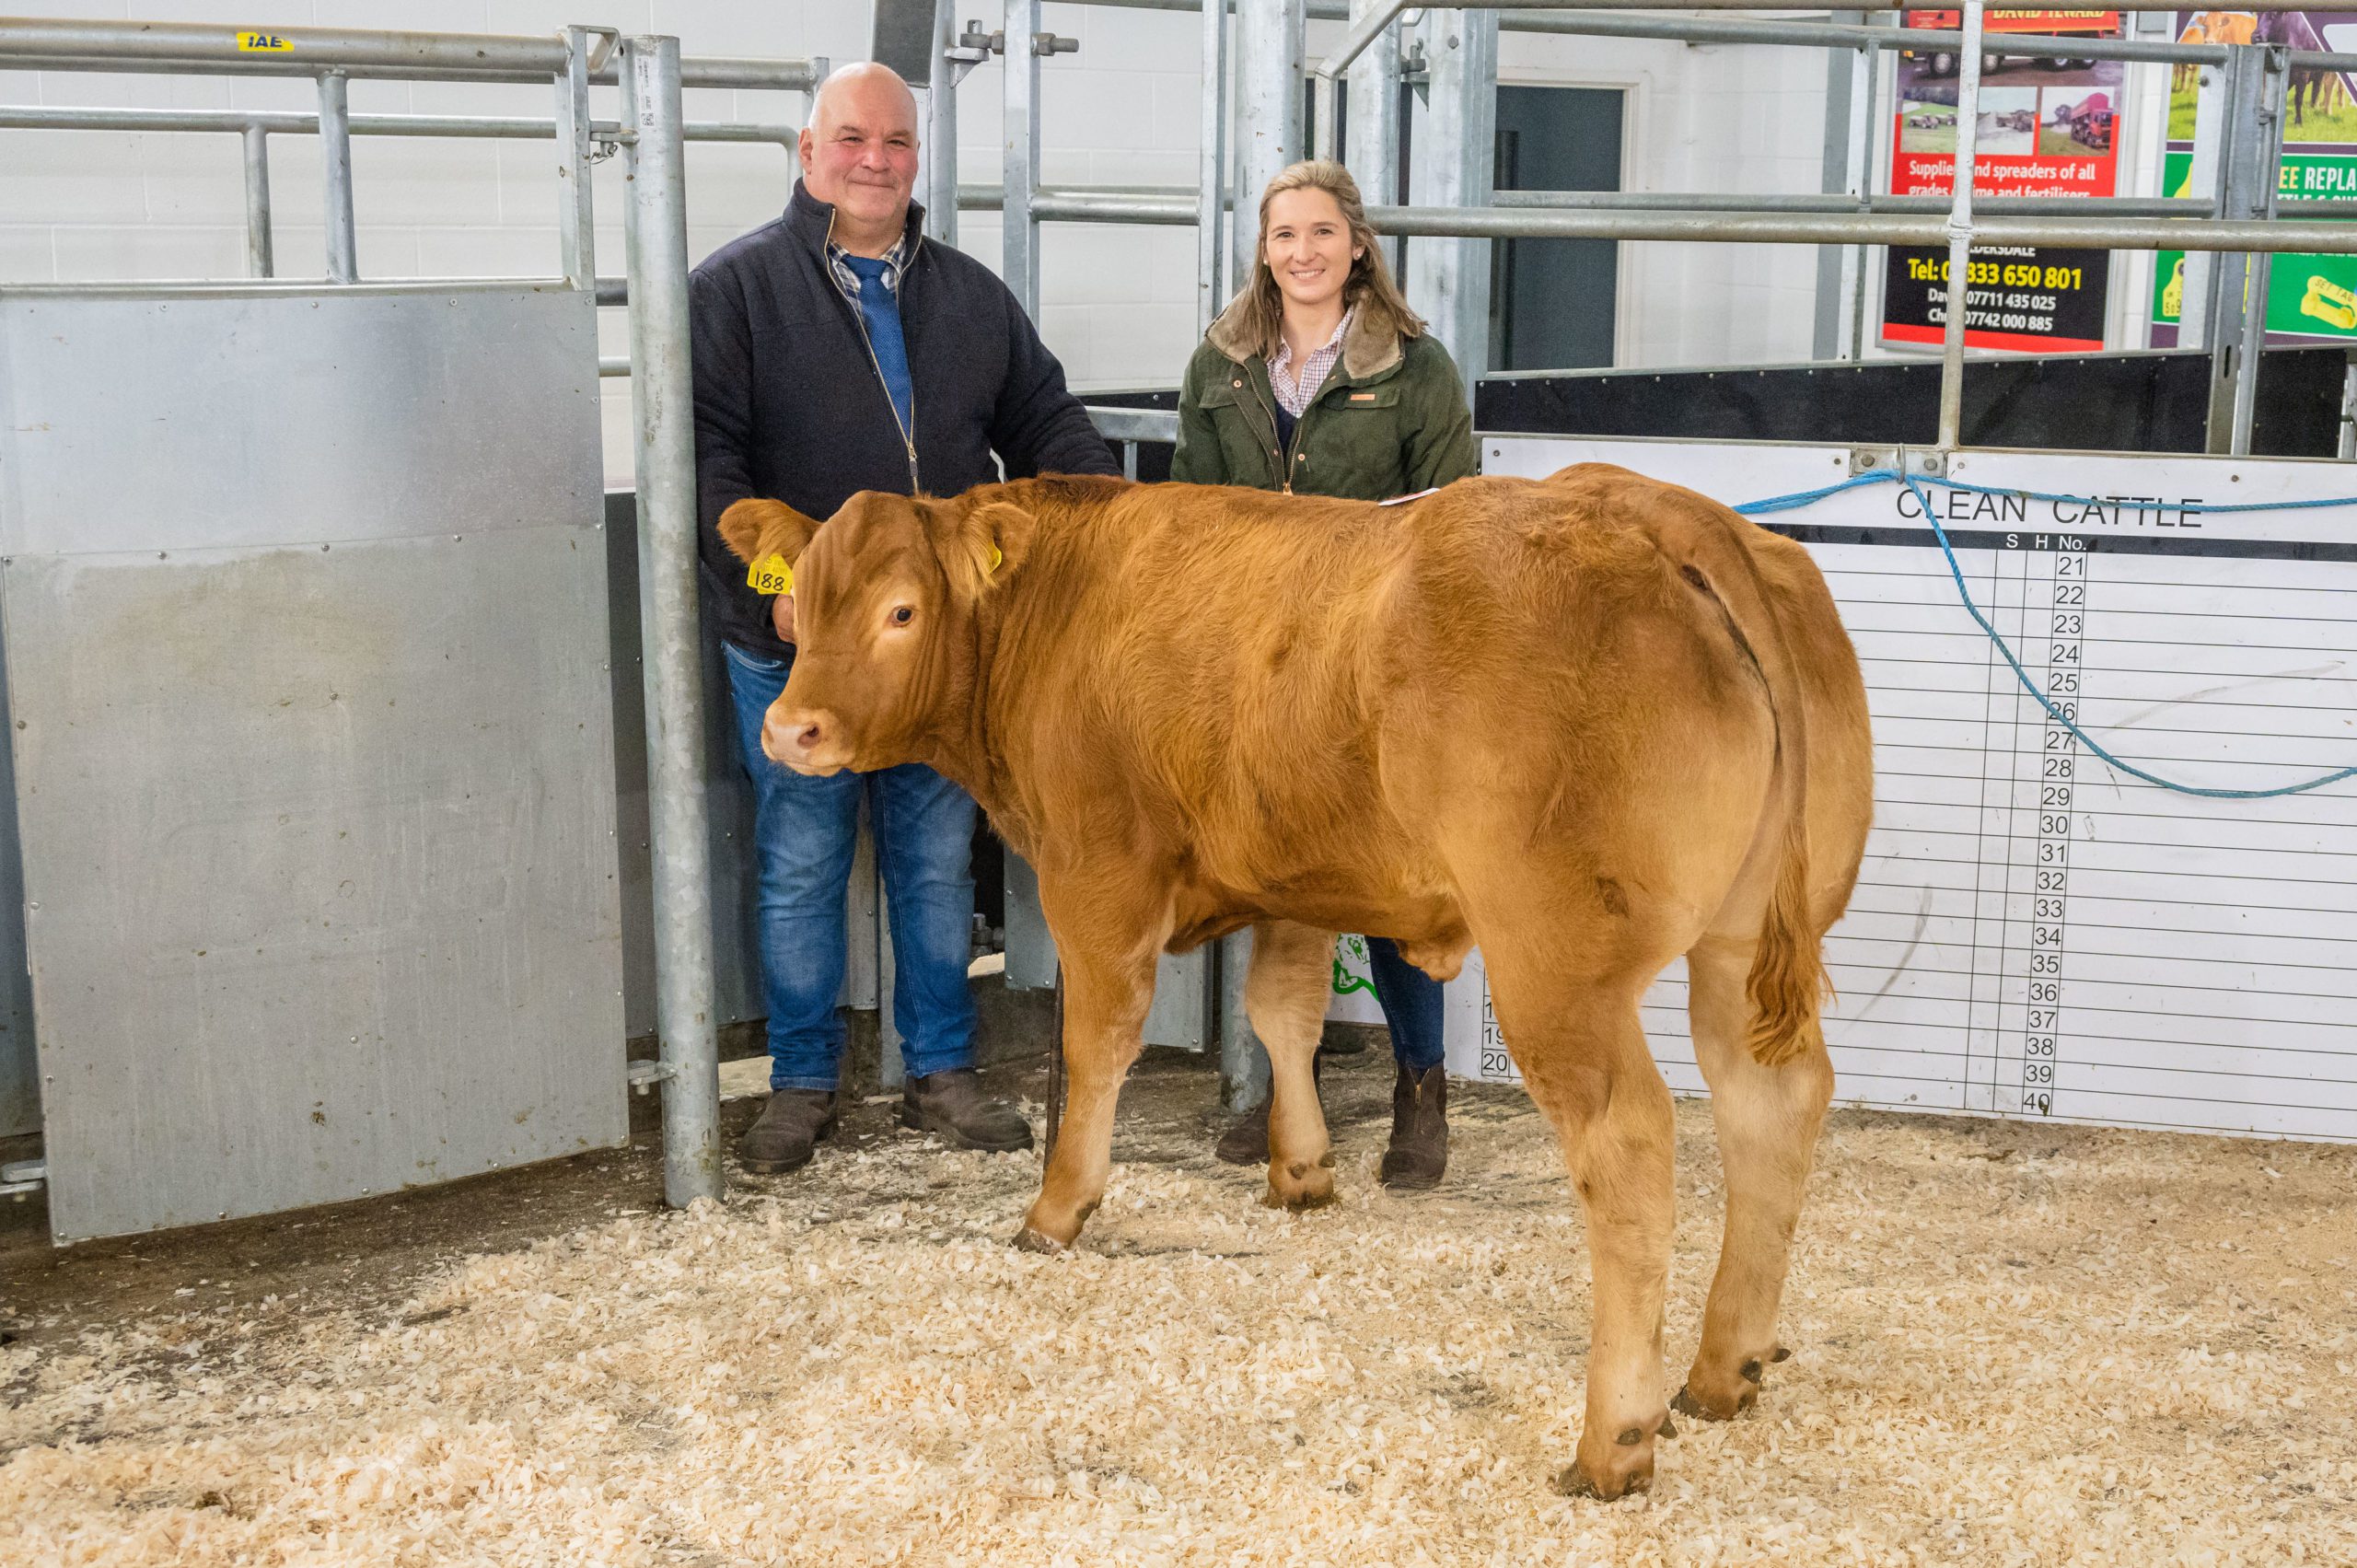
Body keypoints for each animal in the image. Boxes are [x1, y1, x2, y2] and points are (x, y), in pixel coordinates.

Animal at [716, 467, 1874, 1500]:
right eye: (798, 600)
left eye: (900, 609)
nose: (791, 729)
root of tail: (1657, 509)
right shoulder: (1295, 878)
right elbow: (1280, 1013)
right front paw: (1299, 1168)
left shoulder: (1098, 870)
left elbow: (1100, 1038)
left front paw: (1057, 1205)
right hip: (1739, 946)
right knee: (1771, 1102)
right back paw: (1722, 1370)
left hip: (1558, 968)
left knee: (1628, 1138)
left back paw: (1612, 1441)